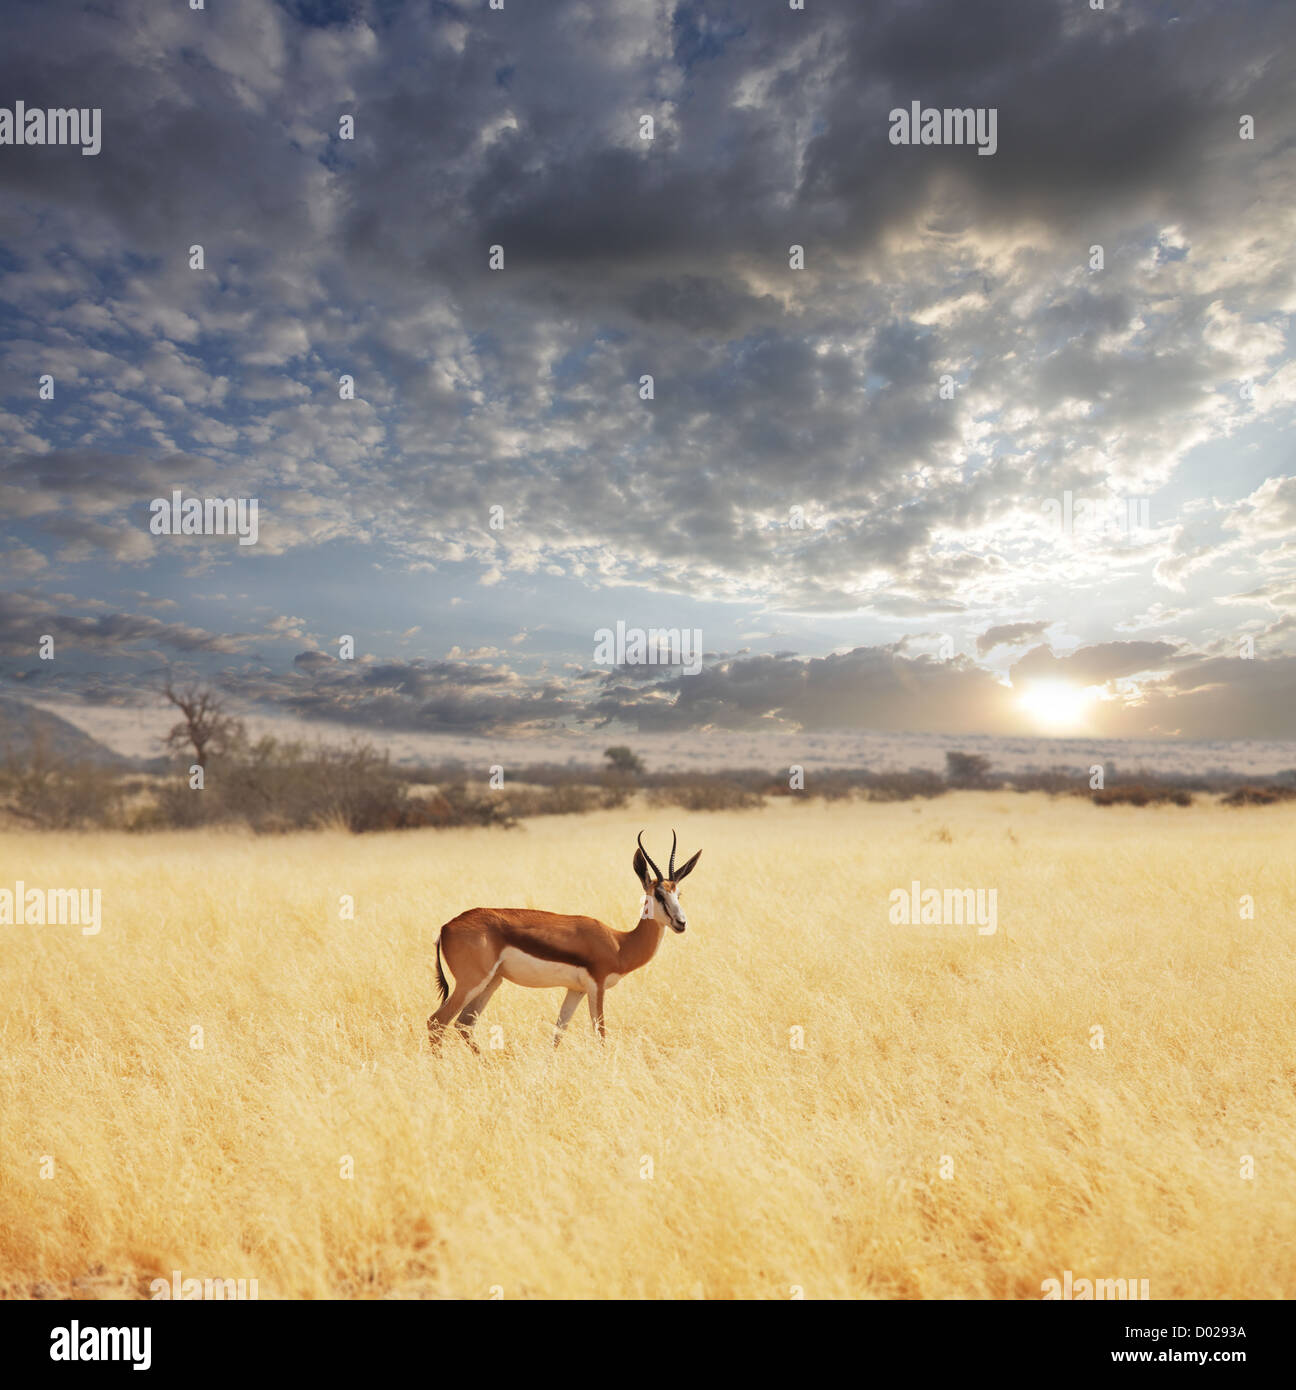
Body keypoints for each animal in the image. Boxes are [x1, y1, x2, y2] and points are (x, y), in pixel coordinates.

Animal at [428, 831, 701, 1050]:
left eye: (678, 893)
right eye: (658, 894)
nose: (681, 923)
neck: (619, 943)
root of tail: (446, 927)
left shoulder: (575, 990)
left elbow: (558, 1034)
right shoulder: (597, 987)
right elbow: (600, 1034)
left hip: (492, 982)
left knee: (464, 1024)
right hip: (471, 982)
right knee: (437, 1022)